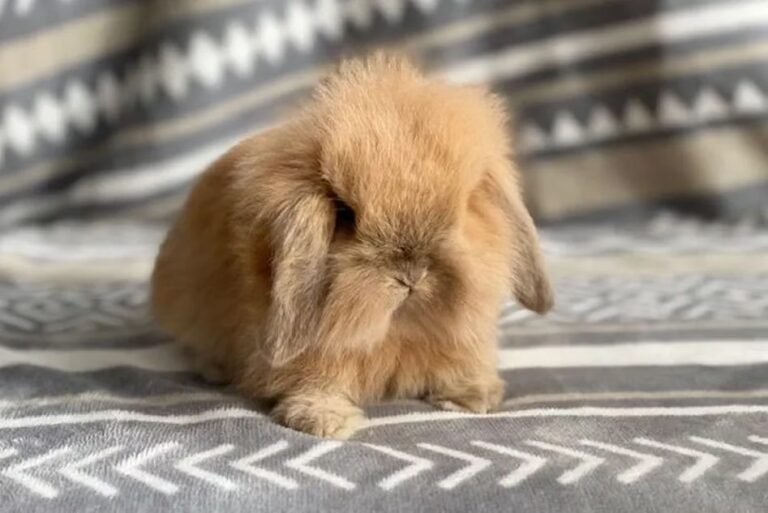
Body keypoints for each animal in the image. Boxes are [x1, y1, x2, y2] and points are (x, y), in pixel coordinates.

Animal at [150, 52, 553, 439]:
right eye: (345, 213)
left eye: (464, 207)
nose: (410, 275)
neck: (397, 330)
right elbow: (314, 383)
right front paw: (326, 421)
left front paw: (473, 396)